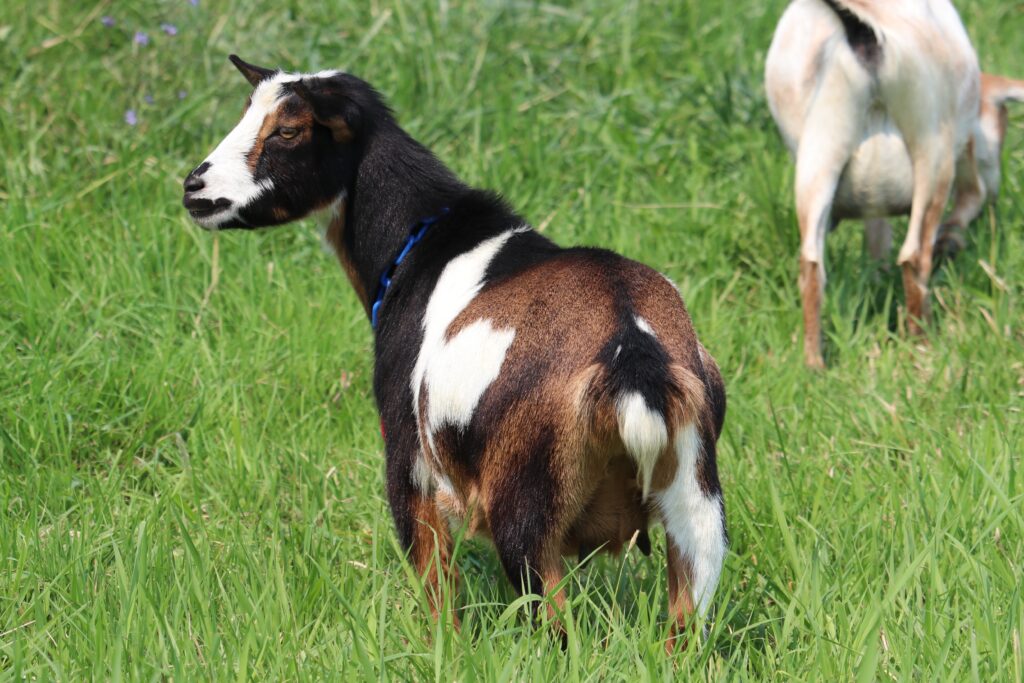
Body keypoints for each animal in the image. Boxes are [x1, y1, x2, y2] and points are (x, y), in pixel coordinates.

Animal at [183, 56, 728, 650]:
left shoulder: (407, 455)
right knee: (687, 616)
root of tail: (631, 352)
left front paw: (442, 650)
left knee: (555, 625)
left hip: (523, 501)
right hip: (696, 496)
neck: (421, 244)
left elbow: (434, 581)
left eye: (289, 129)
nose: (194, 188)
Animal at [765, 0, 1022, 368]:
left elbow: (877, 238)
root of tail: (865, 34)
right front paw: (951, 241)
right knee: (914, 256)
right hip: (932, 150)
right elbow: (968, 199)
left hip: (820, 152)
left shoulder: (872, 204)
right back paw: (922, 343)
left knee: (811, 266)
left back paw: (814, 364)